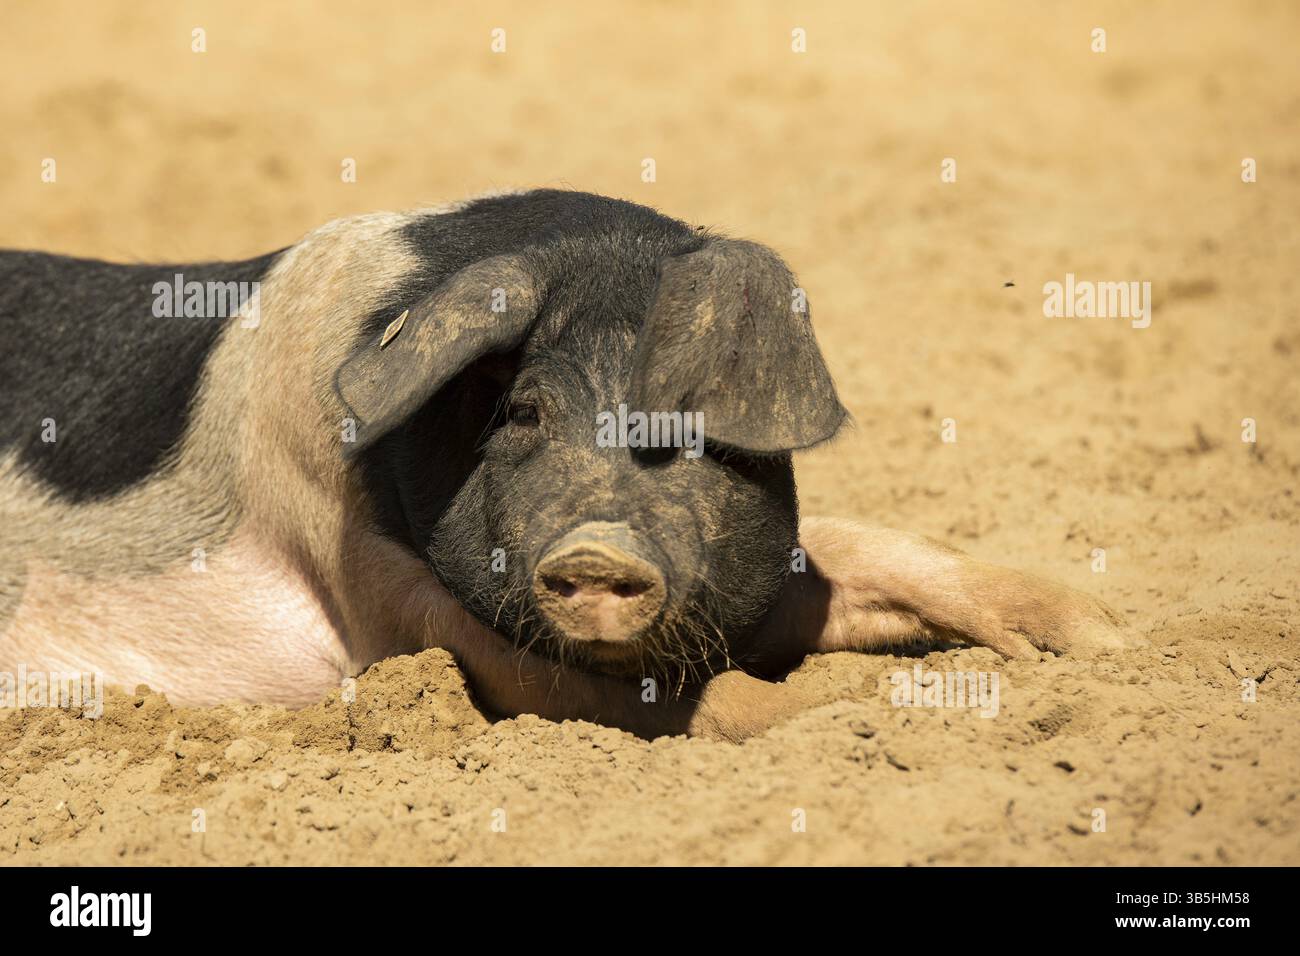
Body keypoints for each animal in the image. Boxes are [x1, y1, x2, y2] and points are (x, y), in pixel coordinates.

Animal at [0, 189, 1131, 740]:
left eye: (688, 433)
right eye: (522, 412)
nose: (597, 547)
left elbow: (863, 555)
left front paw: (1114, 643)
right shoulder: (373, 581)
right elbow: (673, 701)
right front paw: (850, 715)